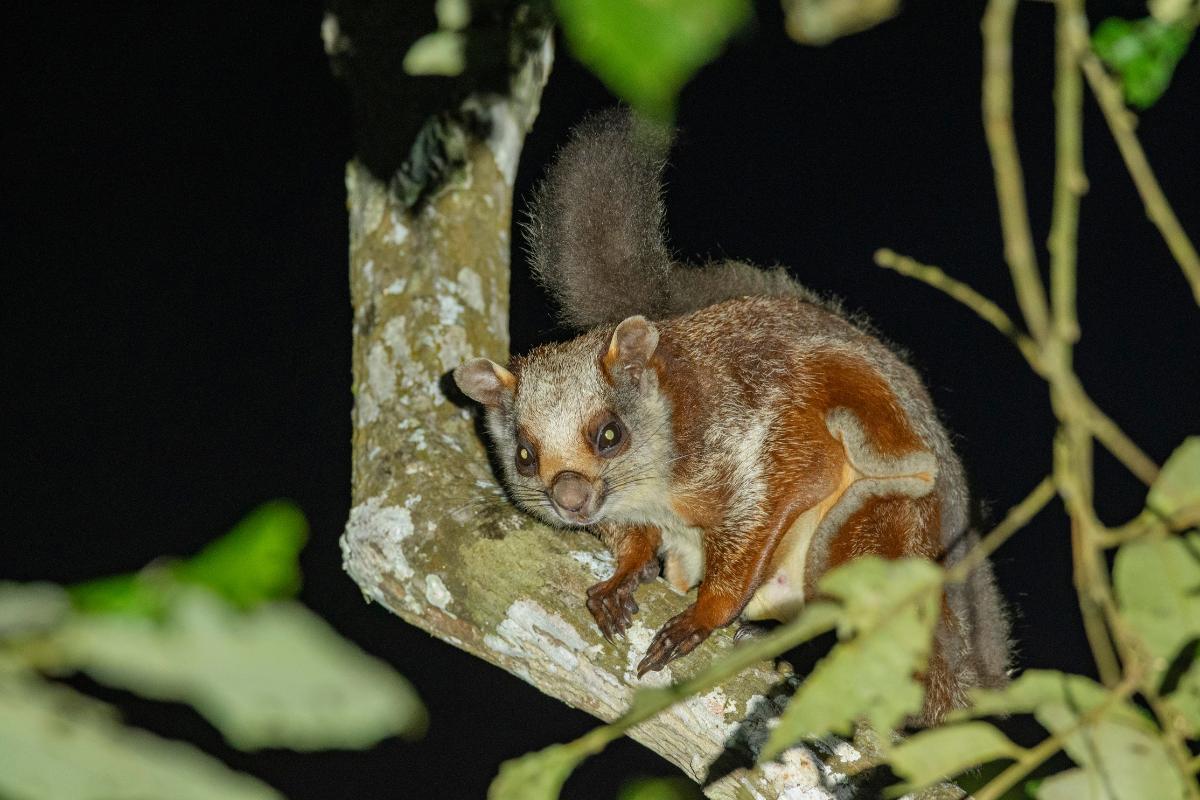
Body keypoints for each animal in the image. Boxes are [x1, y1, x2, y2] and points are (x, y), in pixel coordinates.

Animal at [454, 109, 1011, 724]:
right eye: (526, 456)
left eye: (609, 435)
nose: (570, 499)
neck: (659, 475)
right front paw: (626, 572)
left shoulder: (744, 426)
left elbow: (779, 493)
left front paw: (706, 615)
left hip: (896, 526)